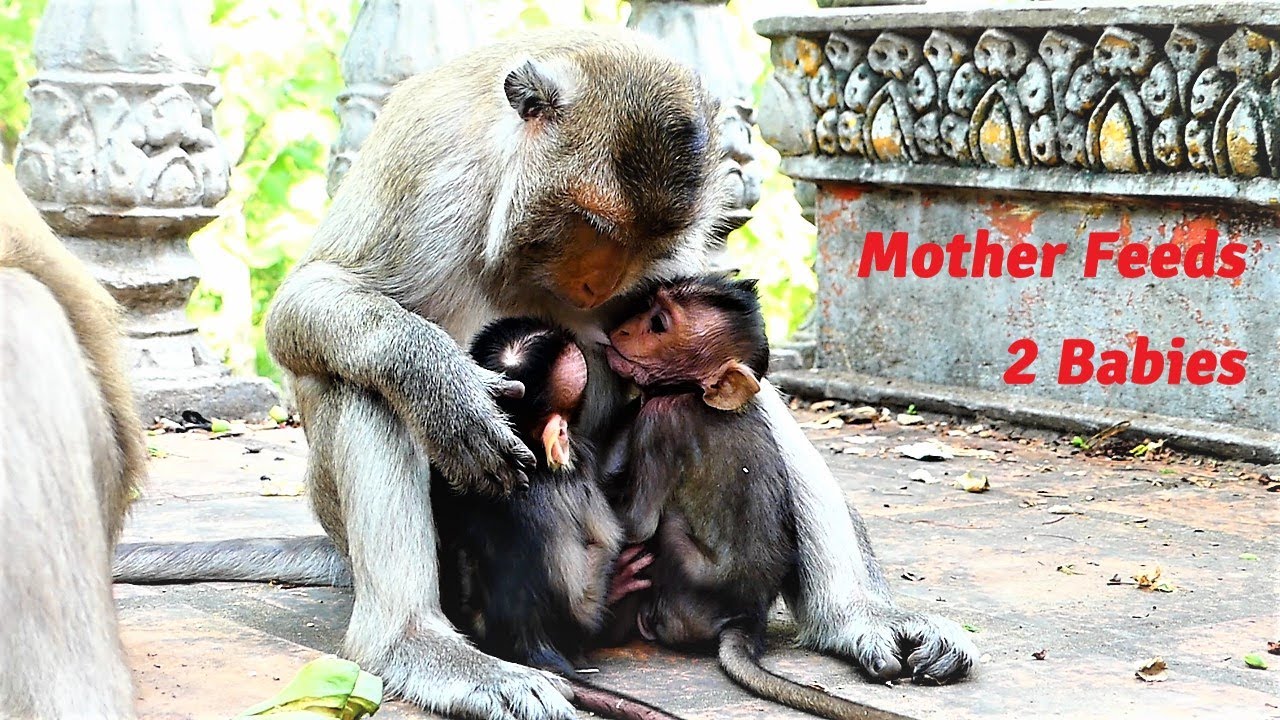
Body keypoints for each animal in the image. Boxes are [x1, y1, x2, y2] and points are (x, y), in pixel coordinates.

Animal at [604, 274, 914, 720]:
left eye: (658, 323)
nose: (621, 329)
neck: (694, 393)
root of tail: (745, 621)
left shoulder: (661, 421)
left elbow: (637, 524)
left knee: (665, 530)